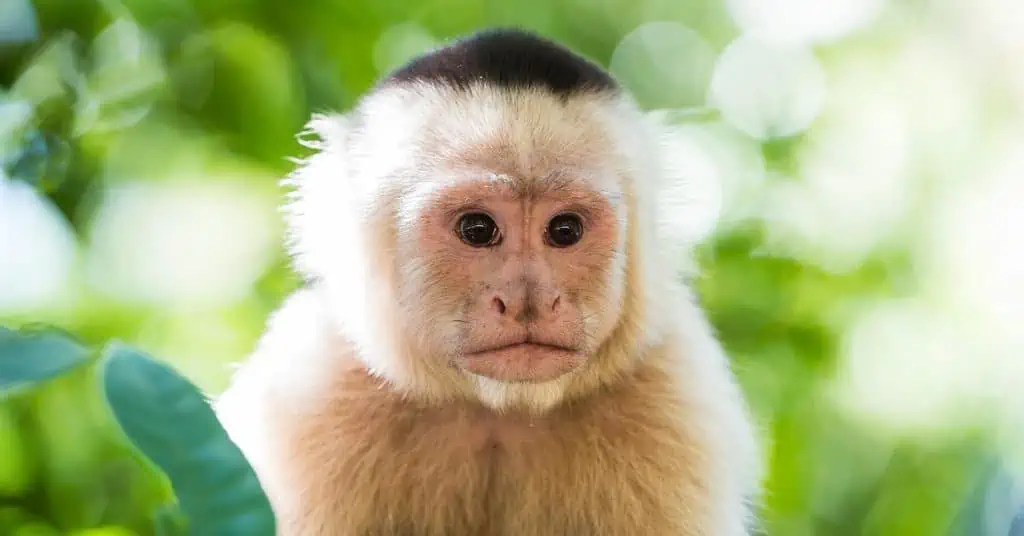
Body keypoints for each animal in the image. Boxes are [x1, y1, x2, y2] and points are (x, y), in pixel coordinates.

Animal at [214, 28, 763, 535]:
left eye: (565, 230)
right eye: (477, 229)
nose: (528, 301)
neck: (497, 412)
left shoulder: (678, 400)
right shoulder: (304, 400)